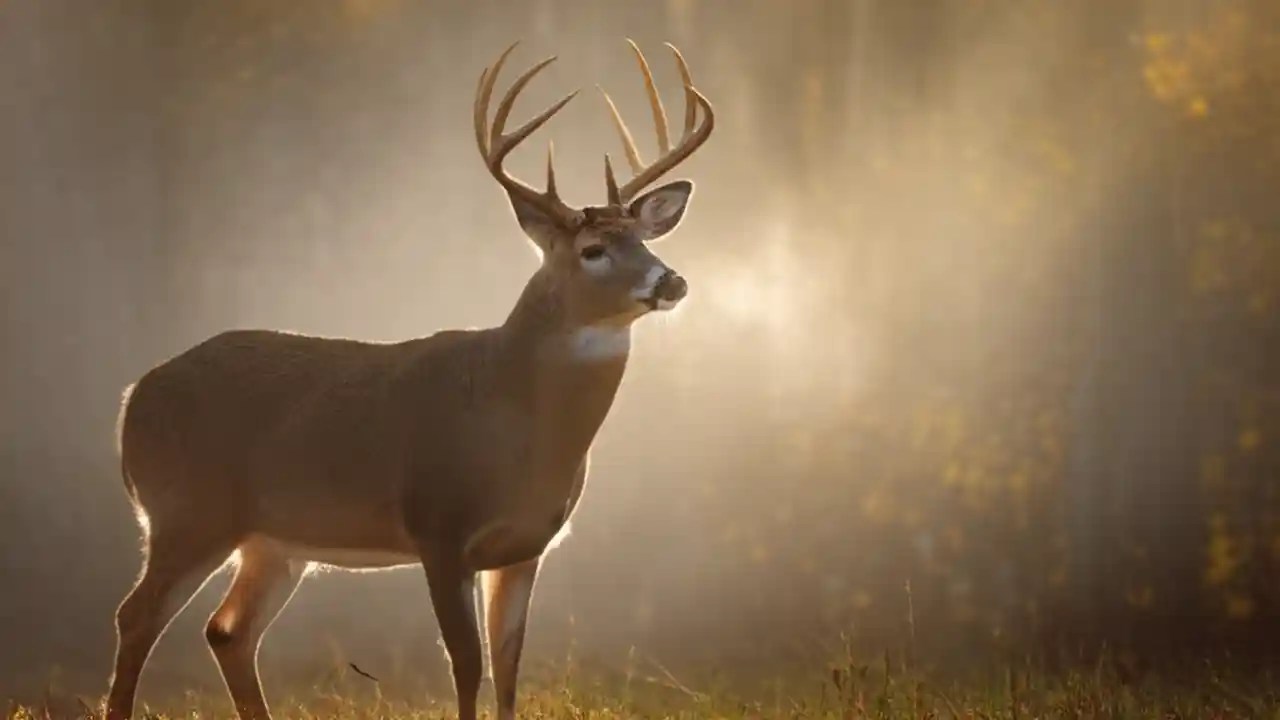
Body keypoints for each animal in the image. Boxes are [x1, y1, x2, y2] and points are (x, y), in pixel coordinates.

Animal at [104, 39, 714, 720]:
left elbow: (509, 668)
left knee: (228, 631)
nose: (671, 280)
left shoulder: (525, 547)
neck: (516, 421)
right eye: (593, 251)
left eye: (643, 238)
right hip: (188, 511)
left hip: (272, 542)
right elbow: (467, 663)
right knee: (137, 616)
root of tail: (132, 398)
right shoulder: (438, 527)